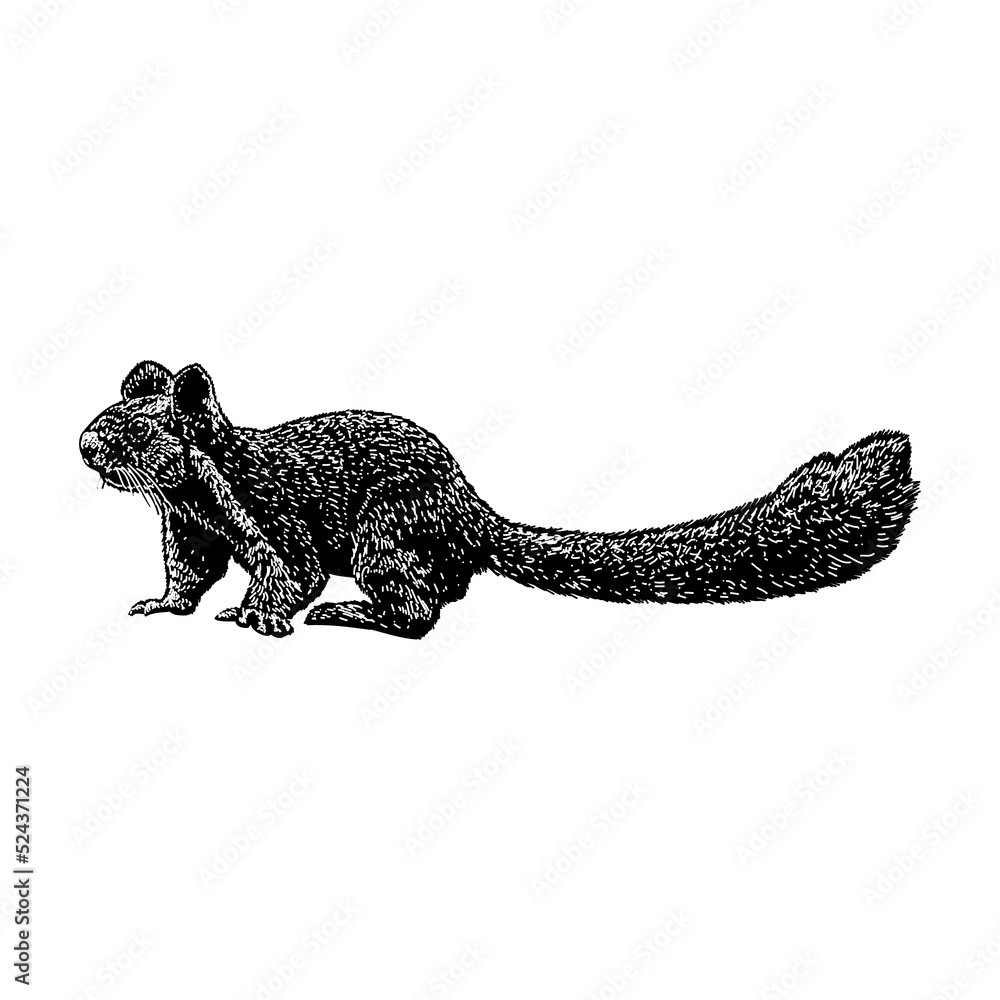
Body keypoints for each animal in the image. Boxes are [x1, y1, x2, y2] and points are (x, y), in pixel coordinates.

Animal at [79, 361, 919, 639]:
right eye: (112, 408)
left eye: (137, 428)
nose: (84, 446)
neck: (200, 488)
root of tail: (467, 512)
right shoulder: (188, 527)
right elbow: (186, 574)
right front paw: (161, 604)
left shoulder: (273, 515)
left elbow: (292, 572)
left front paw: (259, 616)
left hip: (385, 535)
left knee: (418, 613)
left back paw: (352, 615)